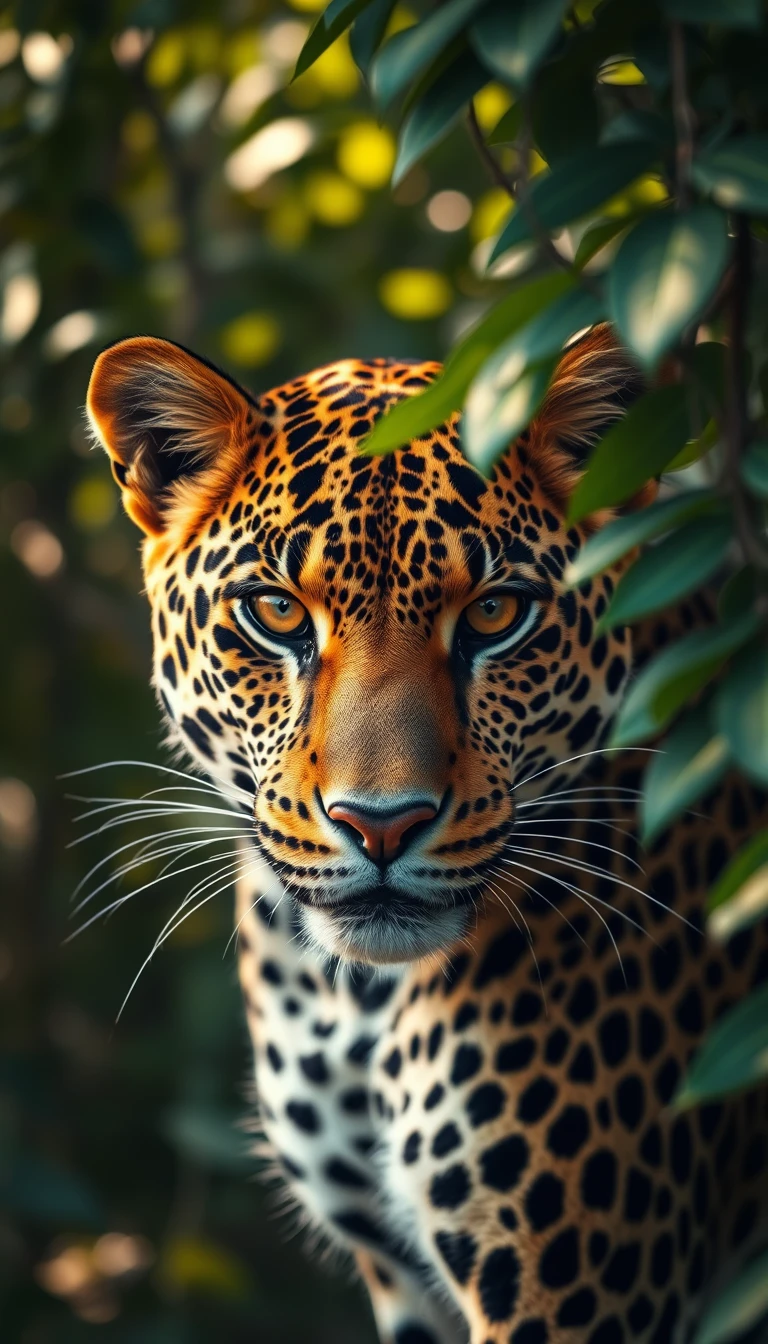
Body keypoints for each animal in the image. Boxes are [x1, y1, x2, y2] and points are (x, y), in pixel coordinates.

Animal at [86, 325, 768, 1344]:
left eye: (494, 613)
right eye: (276, 611)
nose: (381, 825)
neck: (354, 1002)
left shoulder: (575, 1294)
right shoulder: (401, 1273)